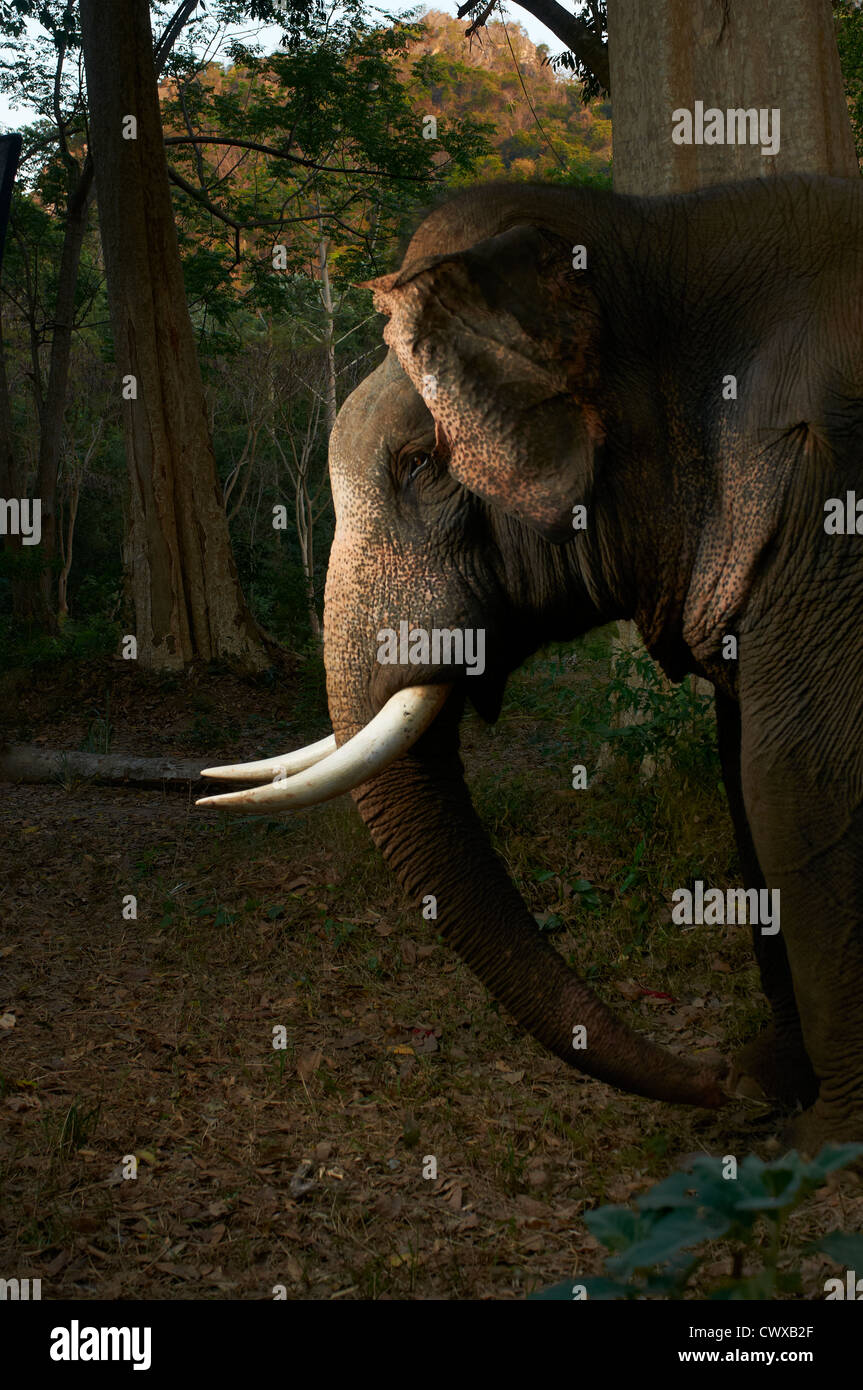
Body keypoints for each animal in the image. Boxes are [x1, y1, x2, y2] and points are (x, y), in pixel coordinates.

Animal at [199, 172, 863, 1147]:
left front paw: (824, 1151)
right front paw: (774, 1089)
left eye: (418, 464)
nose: (715, 1083)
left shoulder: (828, 496)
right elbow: (746, 781)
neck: (655, 240)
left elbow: (797, 783)